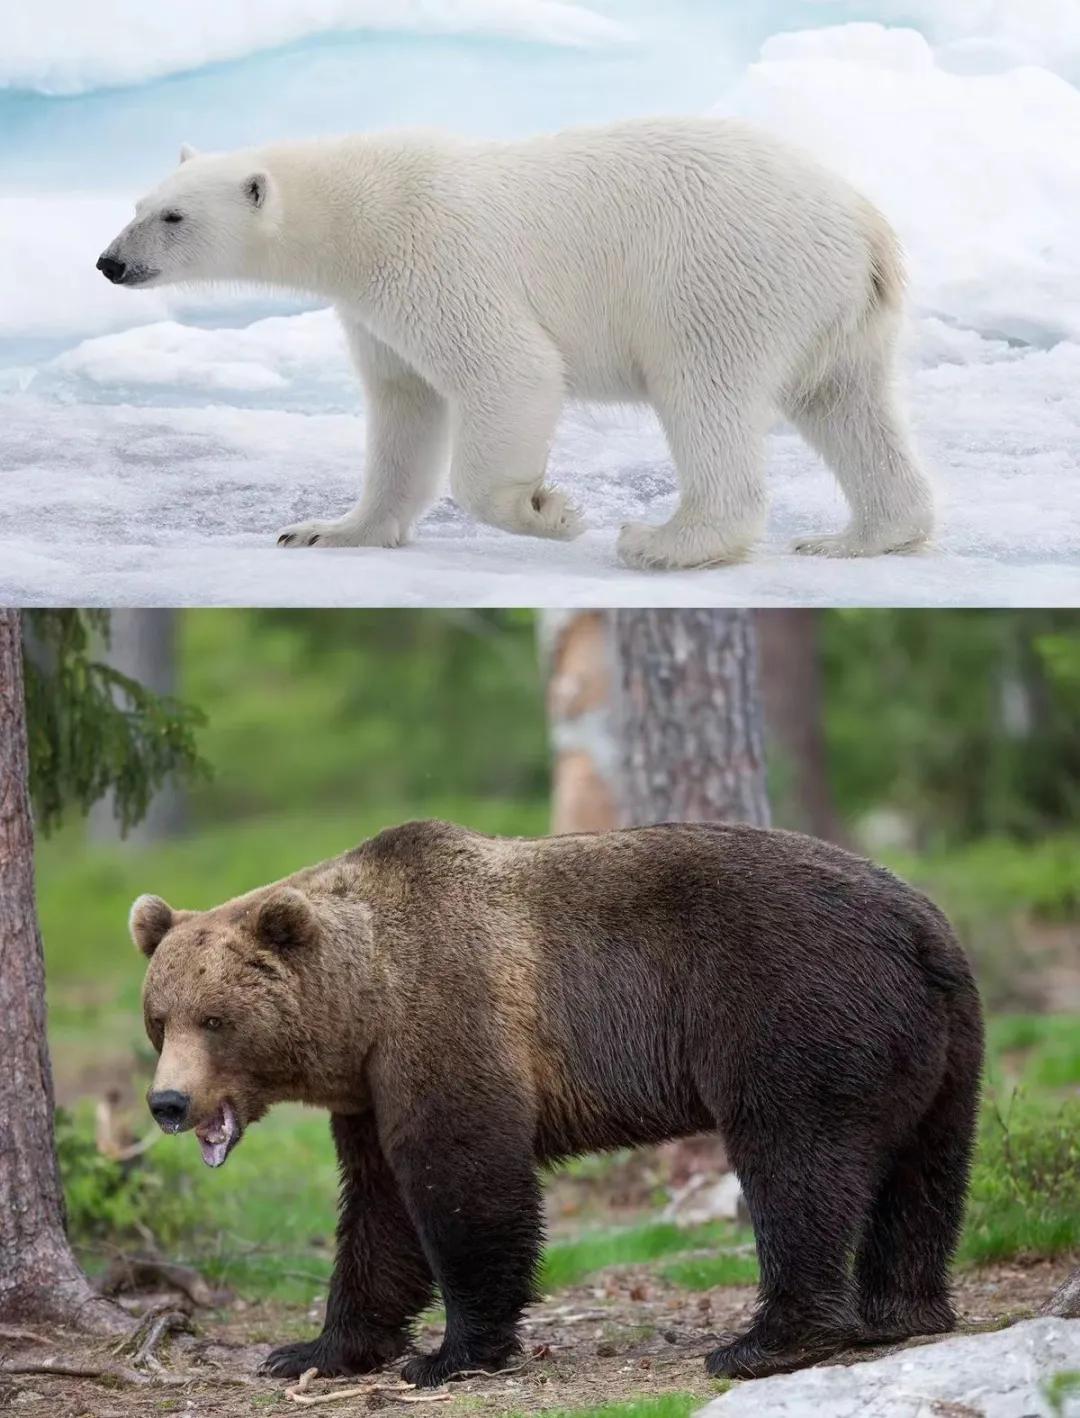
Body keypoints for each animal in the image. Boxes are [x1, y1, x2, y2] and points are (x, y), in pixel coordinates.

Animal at [97, 118, 934, 570]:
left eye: (171, 217)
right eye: (137, 204)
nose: (110, 262)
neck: (357, 213)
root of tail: (863, 222)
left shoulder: (435, 259)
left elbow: (511, 372)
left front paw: (548, 510)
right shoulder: (372, 309)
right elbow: (403, 409)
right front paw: (324, 530)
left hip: (719, 275)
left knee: (704, 389)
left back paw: (666, 541)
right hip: (841, 313)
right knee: (847, 404)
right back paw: (864, 536)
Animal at [130, 818, 983, 1388]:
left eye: (215, 1018)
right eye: (159, 1018)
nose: (168, 1102)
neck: (367, 1001)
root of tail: (921, 926)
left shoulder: (451, 1019)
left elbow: (464, 1182)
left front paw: (449, 1354)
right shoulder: (372, 1090)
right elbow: (378, 1209)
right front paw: (313, 1350)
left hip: (793, 1009)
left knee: (795, 1162)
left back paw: (767, 1340)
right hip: (943, 1045)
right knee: (925, 1172)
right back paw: (902, 1310)